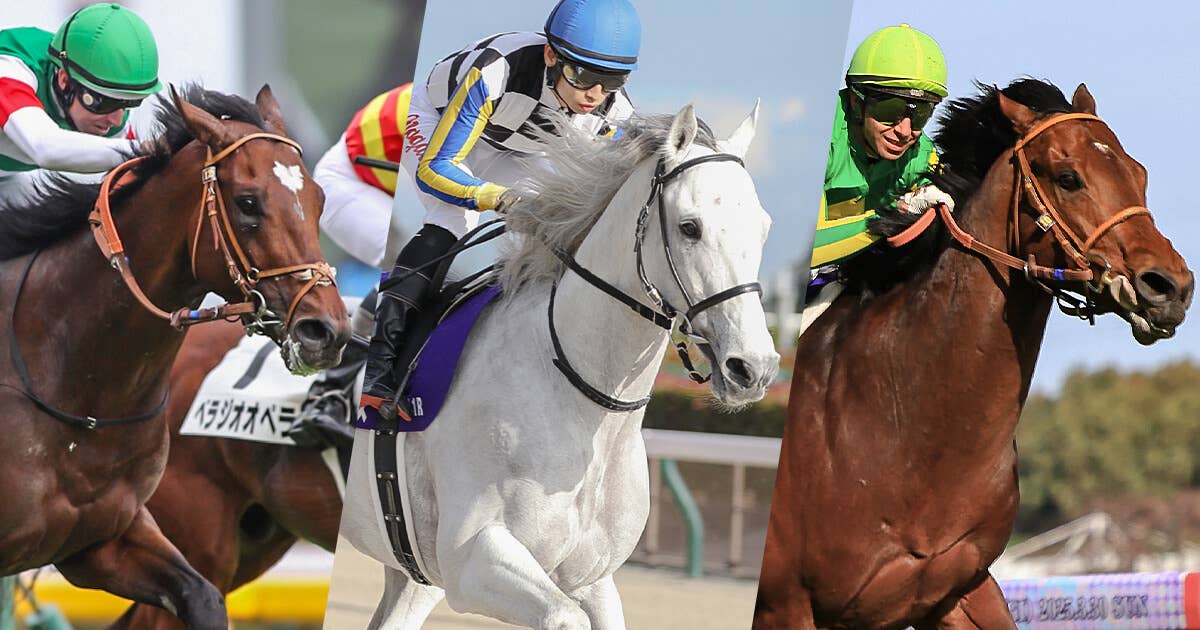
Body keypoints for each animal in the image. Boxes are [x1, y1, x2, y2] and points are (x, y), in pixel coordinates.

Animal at [334, 103, 778, 629]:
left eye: (763, 227)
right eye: (690, 227)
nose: (753, 366)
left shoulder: (590, 578)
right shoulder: (473, 562)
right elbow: (564, 617)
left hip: (415, 575)